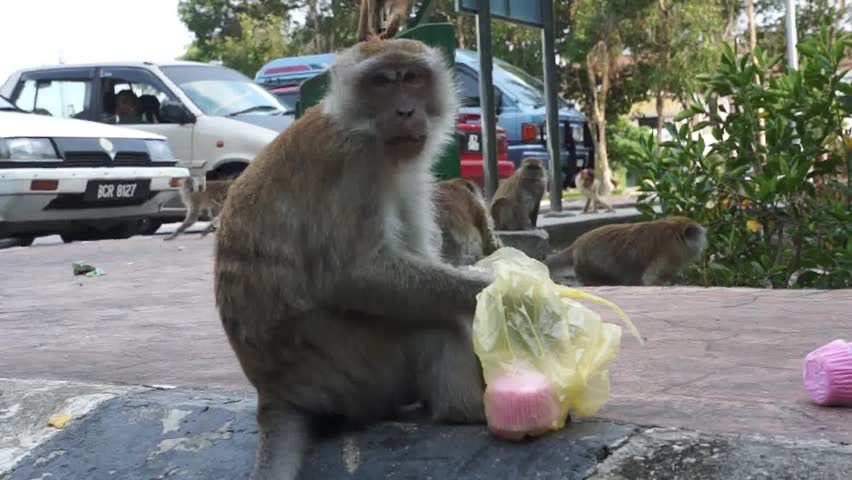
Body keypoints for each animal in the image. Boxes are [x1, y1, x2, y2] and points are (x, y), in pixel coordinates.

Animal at [213, 39, 494, 480]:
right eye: (381, 82)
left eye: (412, 78)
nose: (405, 111)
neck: (360, 126)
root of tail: (272, 391)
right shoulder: (353, 163)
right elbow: (355, 276)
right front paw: (492, 287)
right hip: (351, 371)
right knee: (436, 323)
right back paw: (467, 411)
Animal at [544, 216, 707, 286]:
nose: (704, 242)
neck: (677, 232)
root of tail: (576, 244)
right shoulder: (671, 252)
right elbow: (650, 279)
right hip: (587, 266)